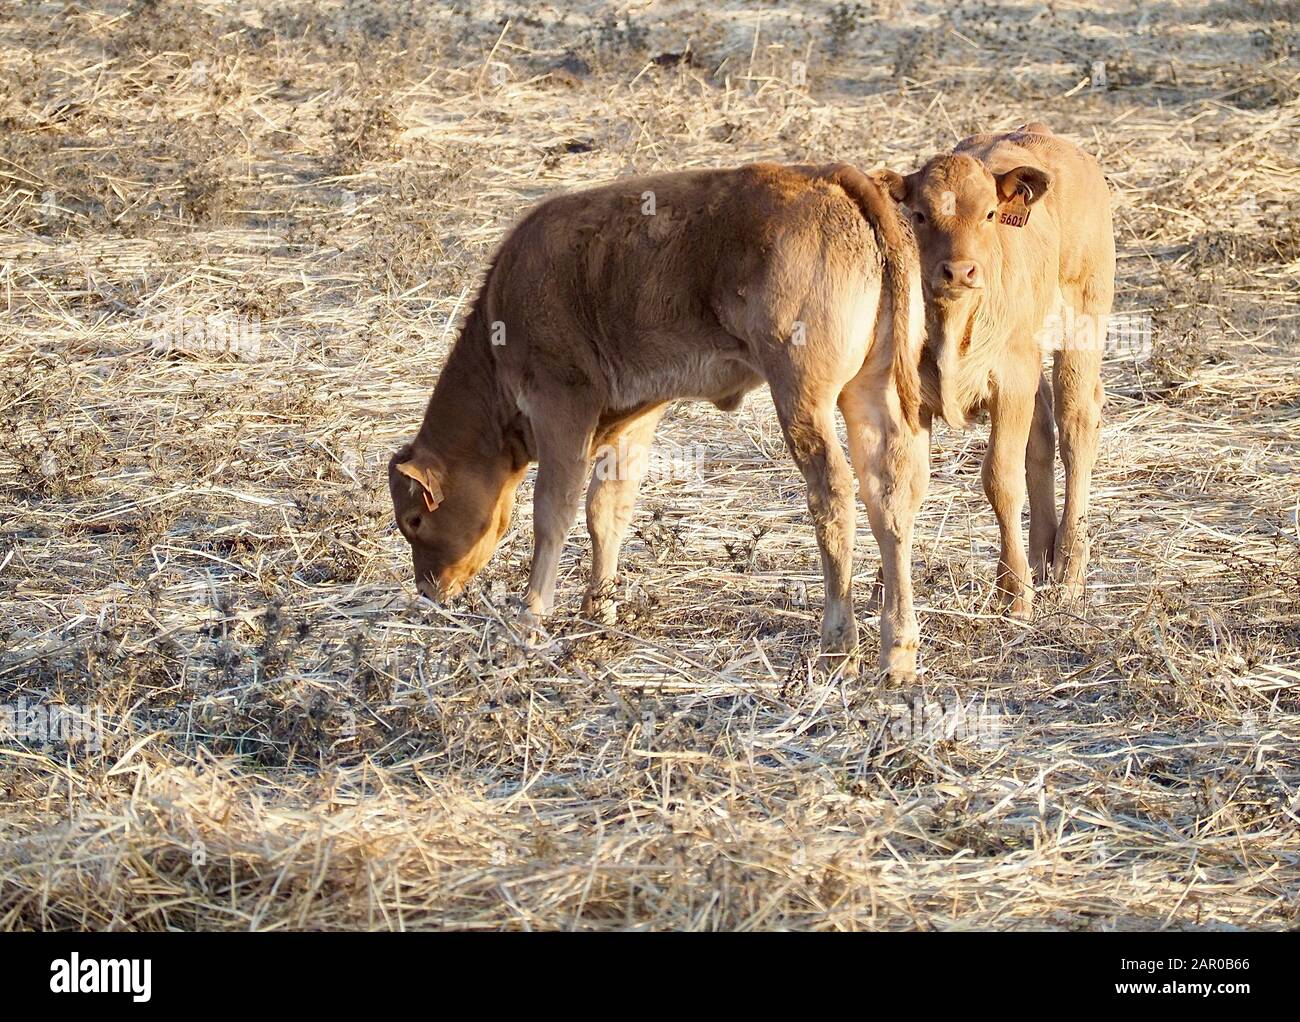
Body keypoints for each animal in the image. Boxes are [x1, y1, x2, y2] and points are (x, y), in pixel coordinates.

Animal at [388, 162, 931, 679]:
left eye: (414, 519)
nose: (430, 591)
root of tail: (830, 177)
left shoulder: (561, 403)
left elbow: (553, 512)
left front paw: (528, 620)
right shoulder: (634, 417)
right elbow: (606, 510)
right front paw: (598, 614)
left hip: (801, 395)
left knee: (832, 492)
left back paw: (837, 647)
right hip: (871, 392)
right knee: (889, 496)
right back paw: (897, 655)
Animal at [873, 122, 1115, 618]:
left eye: (988, 213)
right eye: (920, 215)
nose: (959, 271)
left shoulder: (1009, 384)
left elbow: (1001, 478)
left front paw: (1013, 592)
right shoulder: (908, 397)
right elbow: (903, 487)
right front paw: (887, 592)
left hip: (1083, 321)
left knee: (1076, 425)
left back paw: (1068, 571)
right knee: (1042, 432)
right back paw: (1042, 556)